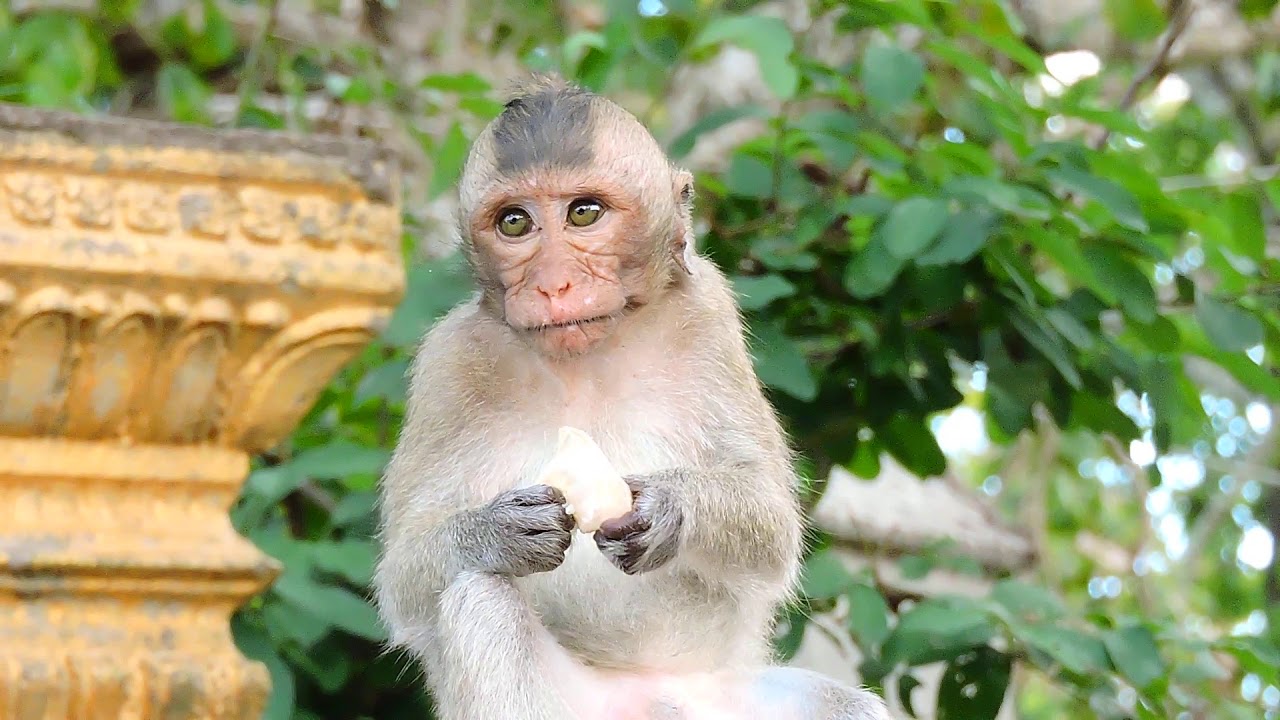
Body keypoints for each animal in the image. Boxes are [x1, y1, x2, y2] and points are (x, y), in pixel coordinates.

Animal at [372, 74, 891, 720]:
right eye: (514, 223)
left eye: (584, 213)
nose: (554, 284)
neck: (587, 359)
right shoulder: (448, 364)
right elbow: (404, 580)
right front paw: (497, 532)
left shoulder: (709, 317)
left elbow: (772, 524)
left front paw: (670, 507)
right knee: (481, 599)